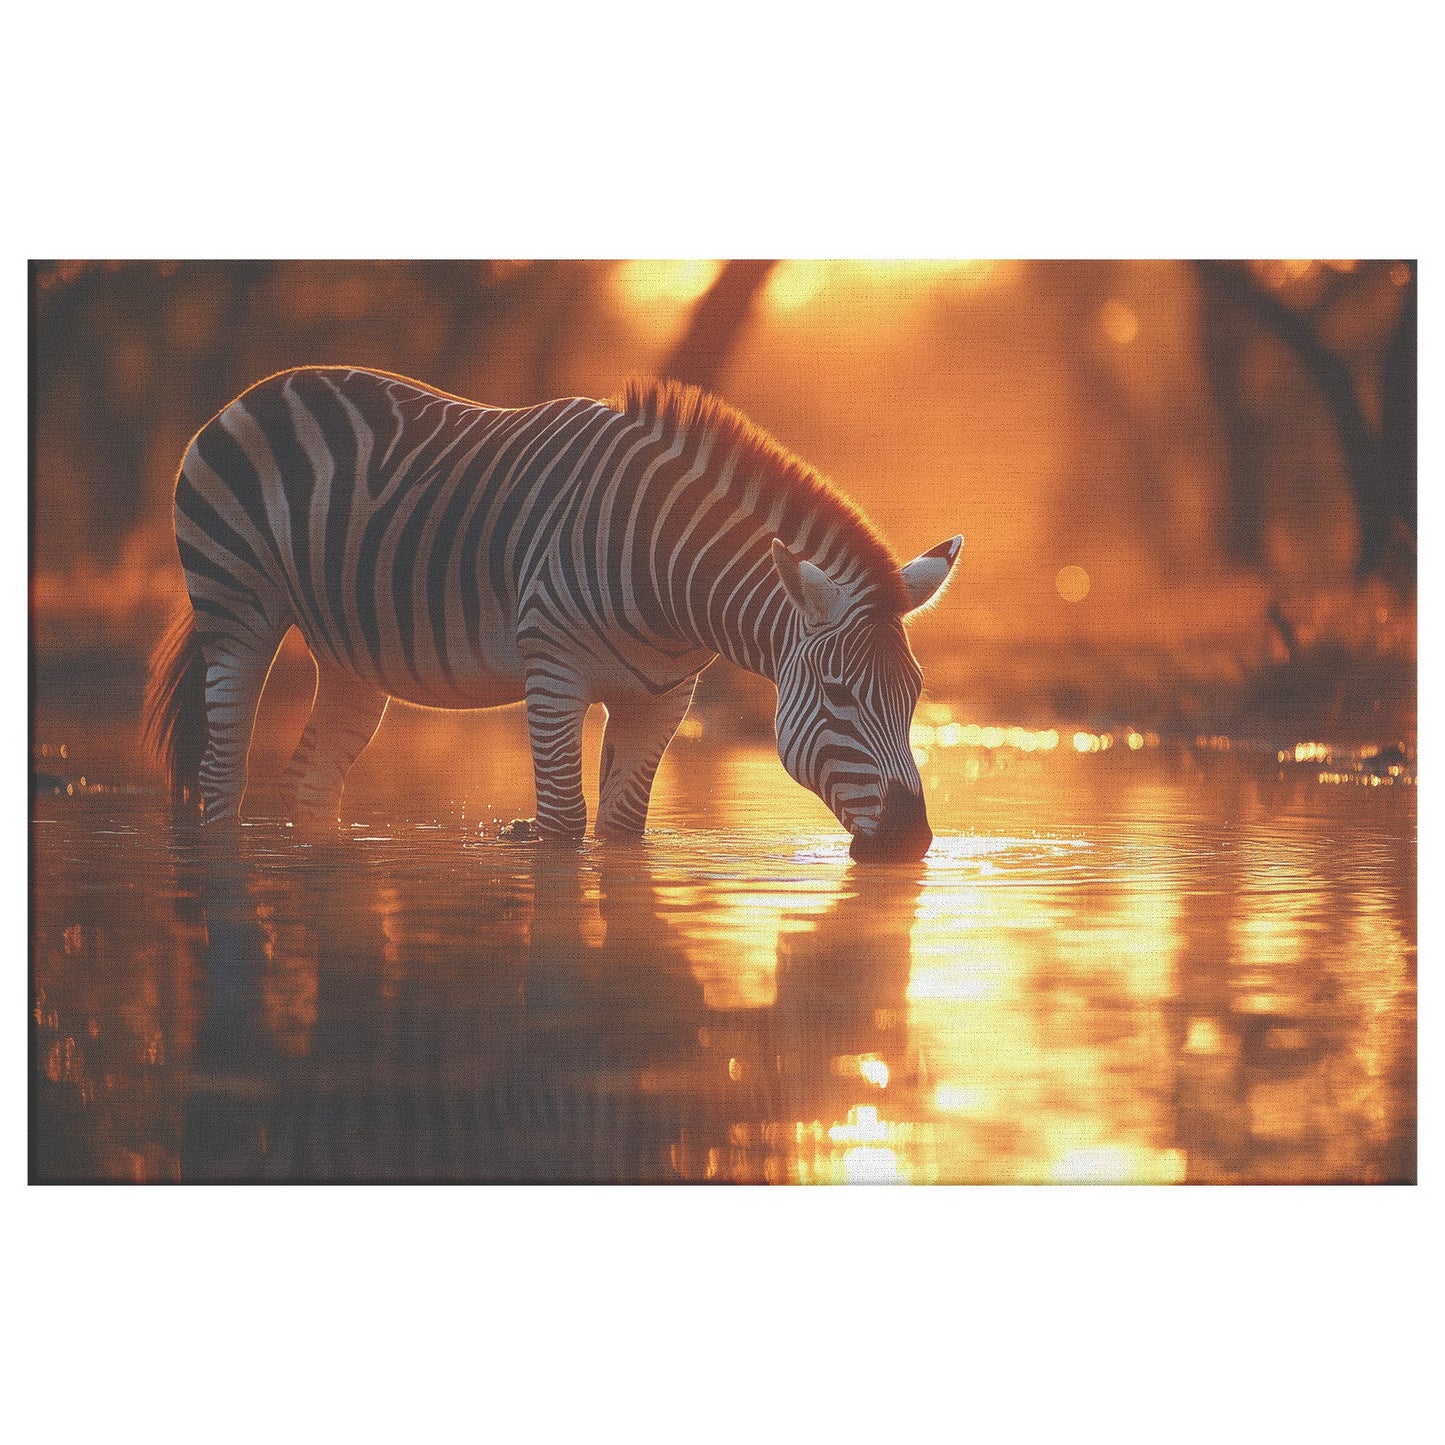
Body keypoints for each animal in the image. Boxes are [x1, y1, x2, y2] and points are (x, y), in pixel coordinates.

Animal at [143, 367, 962, 862]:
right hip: (235, 602)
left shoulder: (662, 698)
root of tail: (262, 386)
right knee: (221, 773)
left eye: (916, 695)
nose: (910, 840)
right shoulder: (553, 674)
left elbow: (622, 832)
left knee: (309, 782)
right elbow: (564, 828)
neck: (665, 573)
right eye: (838, 694)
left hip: (349, 647)